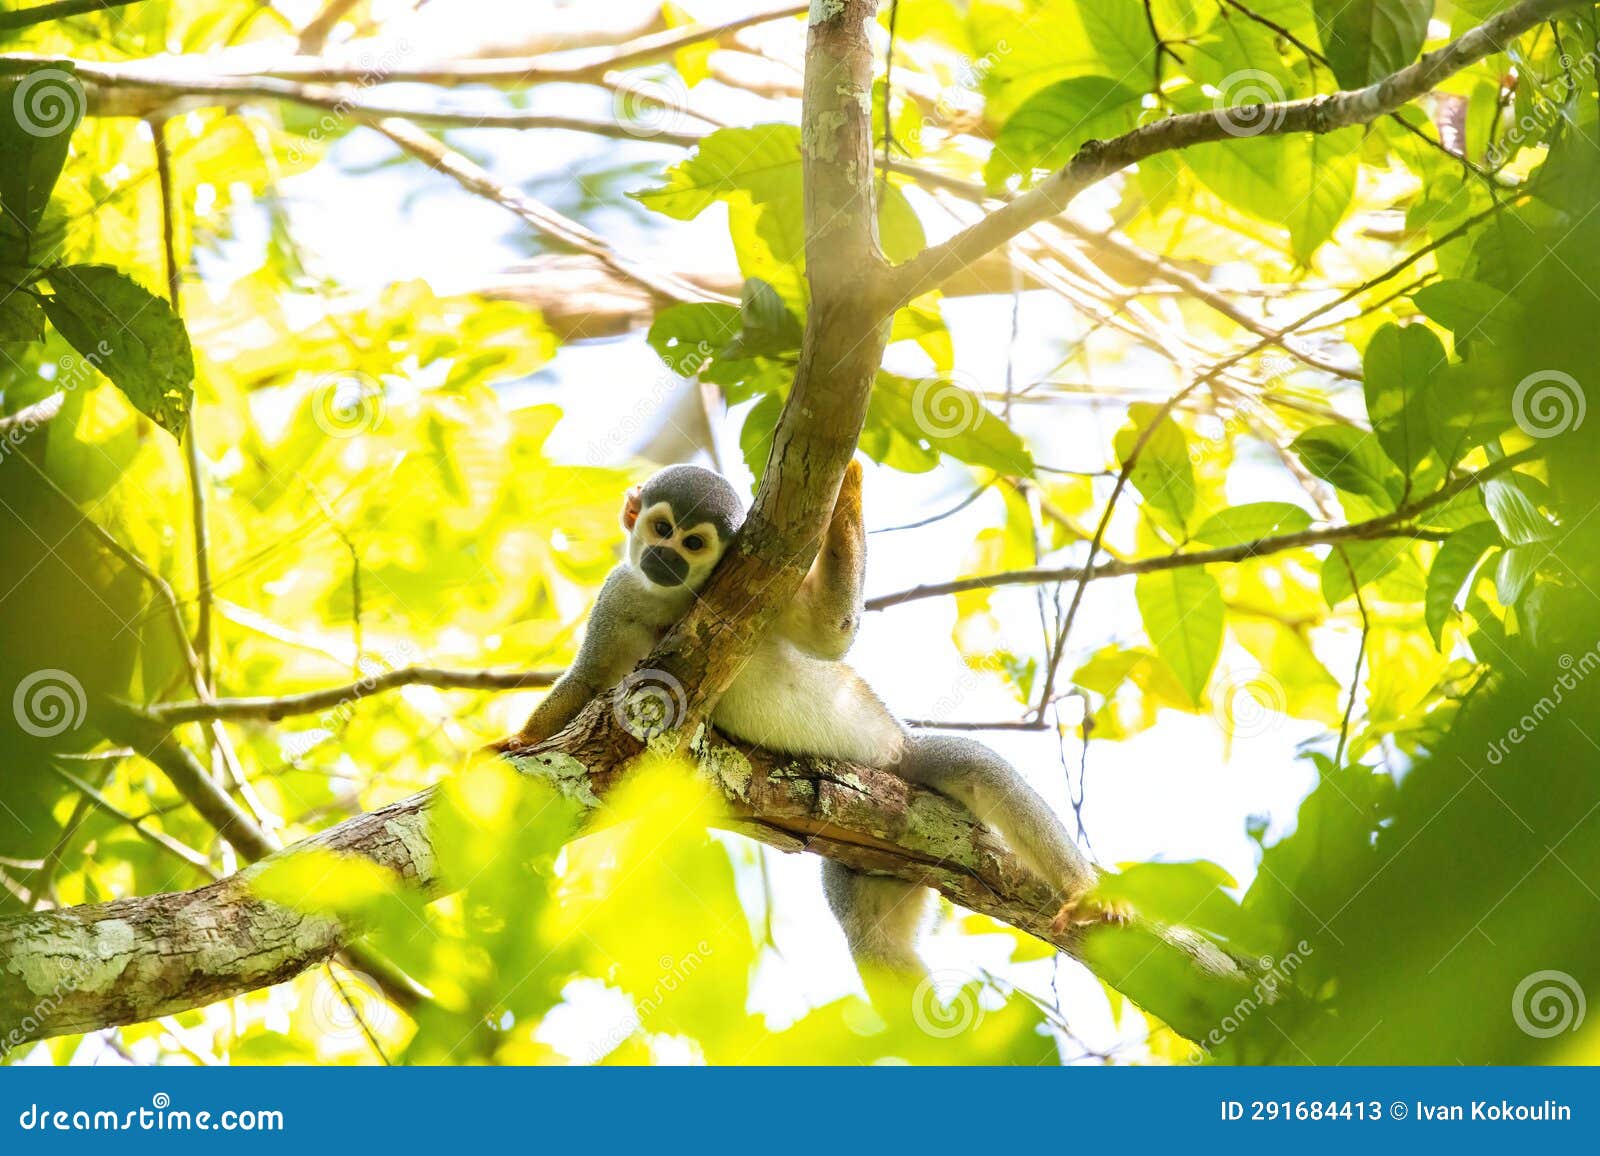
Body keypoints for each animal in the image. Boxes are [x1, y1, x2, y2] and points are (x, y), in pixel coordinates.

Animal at [494, 461, 1100, 980]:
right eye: (661, 528)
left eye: (694, 543)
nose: (667, 559)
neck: (678, 599)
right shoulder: (620, 593)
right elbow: (591, 680)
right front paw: (520, 740)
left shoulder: (767, 590)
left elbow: (831, 632)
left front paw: (849, 484)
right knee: (873, 937)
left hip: (904, 762)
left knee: (979, 771)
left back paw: (1082, 895)